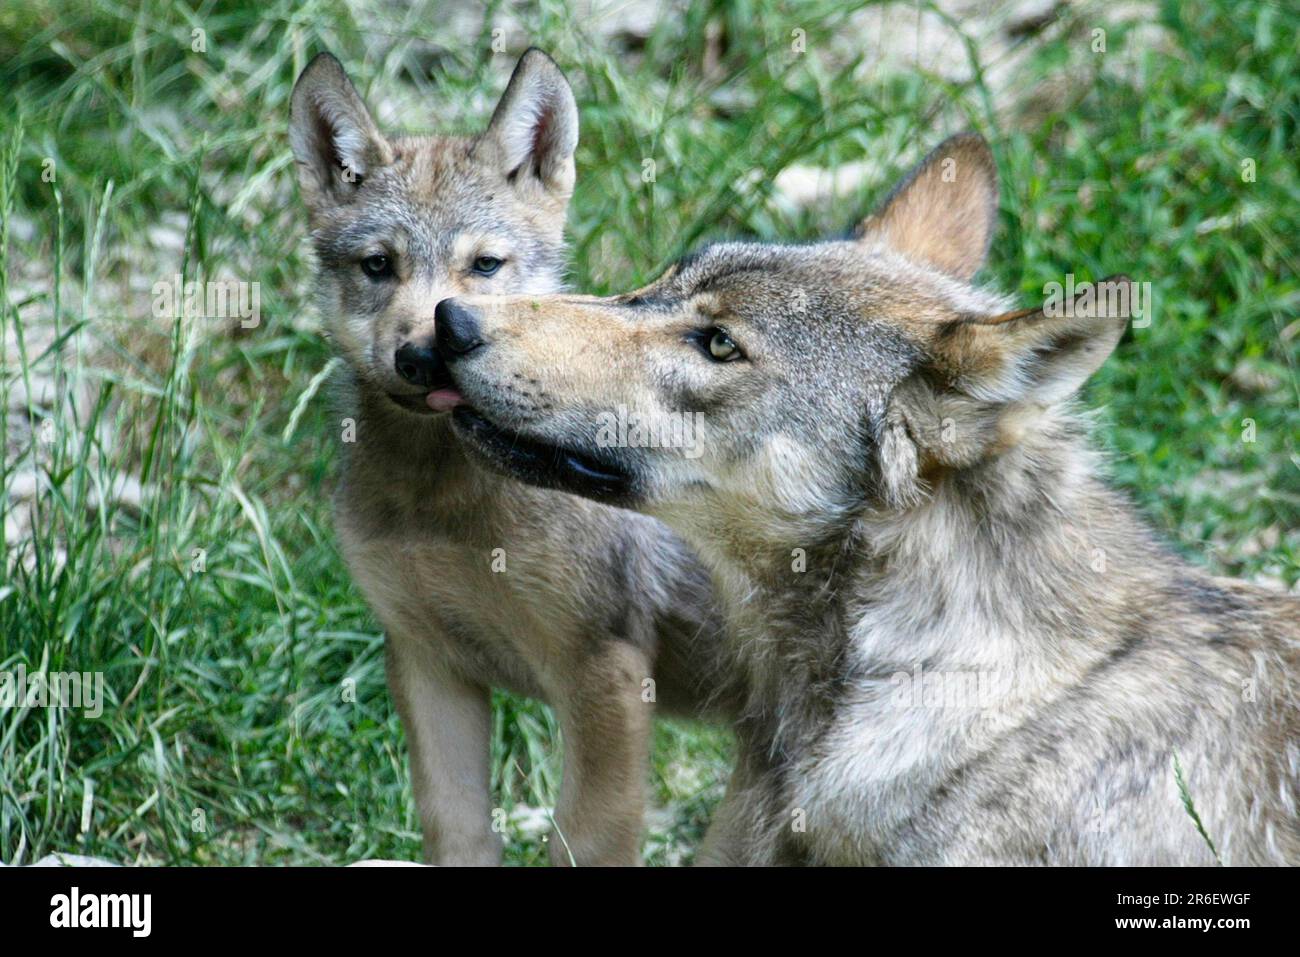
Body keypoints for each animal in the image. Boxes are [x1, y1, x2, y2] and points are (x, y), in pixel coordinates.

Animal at [289, 50, 732, 866]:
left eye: (486, 265)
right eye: (378, 266)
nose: (426, 352)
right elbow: (458, 829)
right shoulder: (428, 662)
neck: (440, 509)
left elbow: (583, 842)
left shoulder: (605, 676)